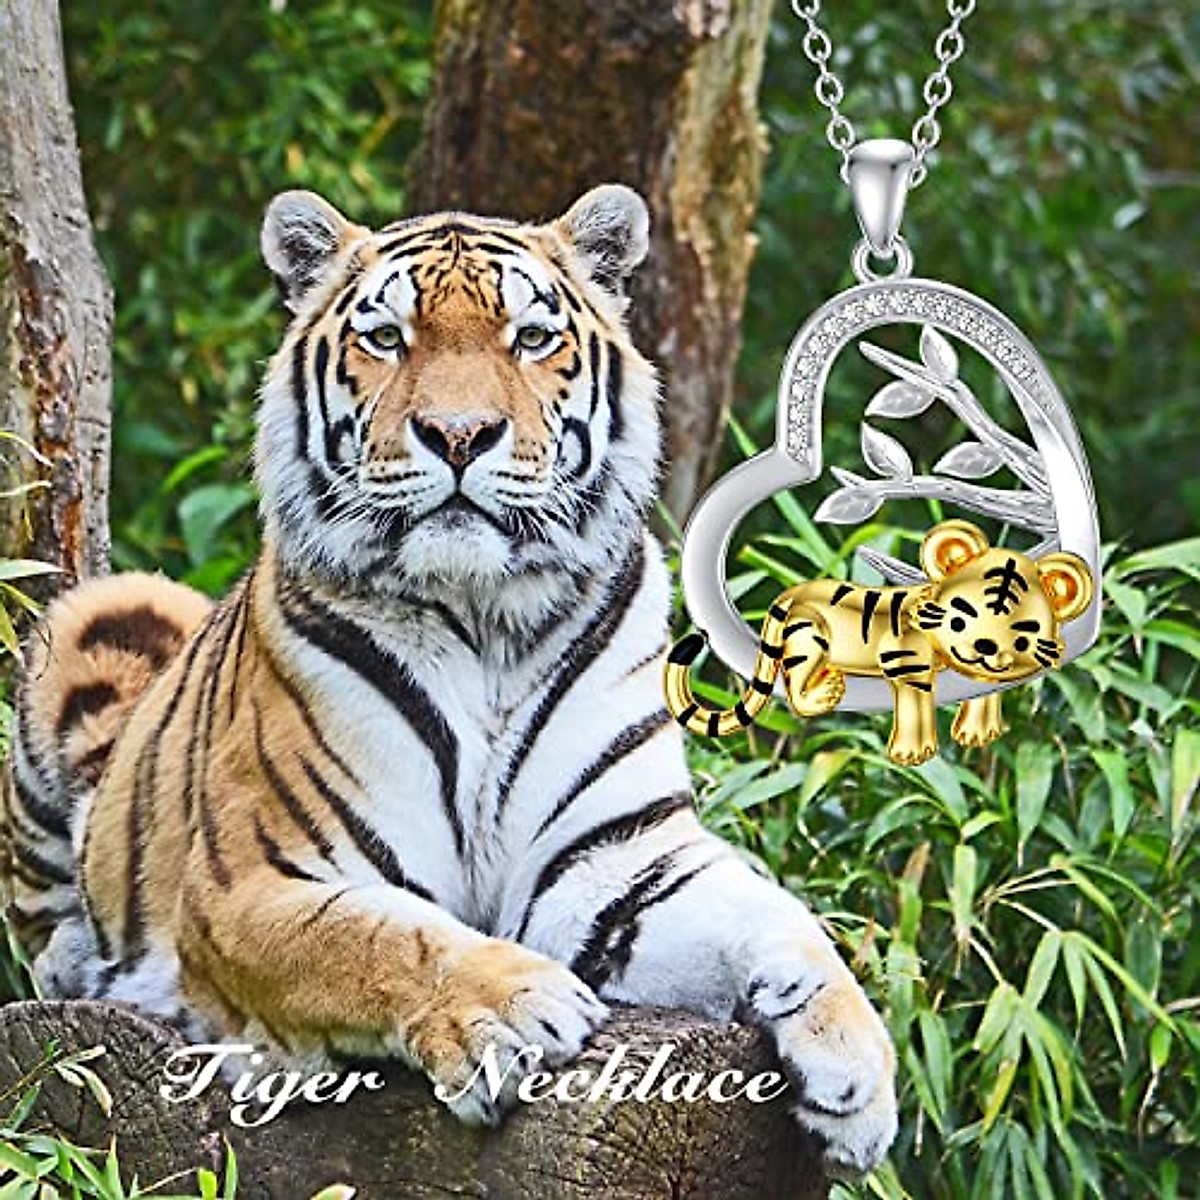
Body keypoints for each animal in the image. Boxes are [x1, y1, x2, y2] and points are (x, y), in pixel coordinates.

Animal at [1, 185, 896, 1177]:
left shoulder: (619, 858)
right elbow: (386, 938)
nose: (459, 435)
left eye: (532, 337)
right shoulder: (252, 887)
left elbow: (782, 919)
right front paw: (516, 1007)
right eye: (388, 337)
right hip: (107, 609)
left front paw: (856, 1070)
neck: (486, 619)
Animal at [665, 519, 1093, 765]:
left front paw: (977, 732)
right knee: (798, 687)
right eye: (960, 618)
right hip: (809, 636)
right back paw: (827, 689)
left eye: (1022, 637)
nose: (987, 647)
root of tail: (790, 594)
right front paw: (913, 752)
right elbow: (916, 705)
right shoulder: (905, 660)